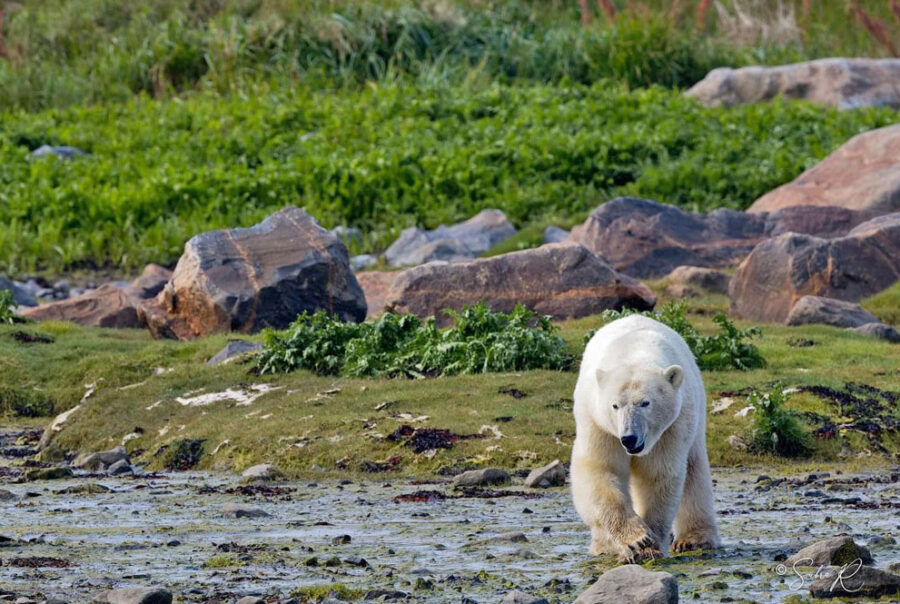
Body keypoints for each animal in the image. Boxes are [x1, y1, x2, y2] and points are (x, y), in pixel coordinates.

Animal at [570, 314, 719, 562]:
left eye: (645, 403)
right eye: (615, 405)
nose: (629, 438)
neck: (634, 352)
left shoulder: (671, 428)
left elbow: (657, 475)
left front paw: (650, 546)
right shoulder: (598, 424)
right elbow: (601, 469)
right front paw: (637, 540)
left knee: (694, 469)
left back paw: (694, 539)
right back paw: (603, 546)